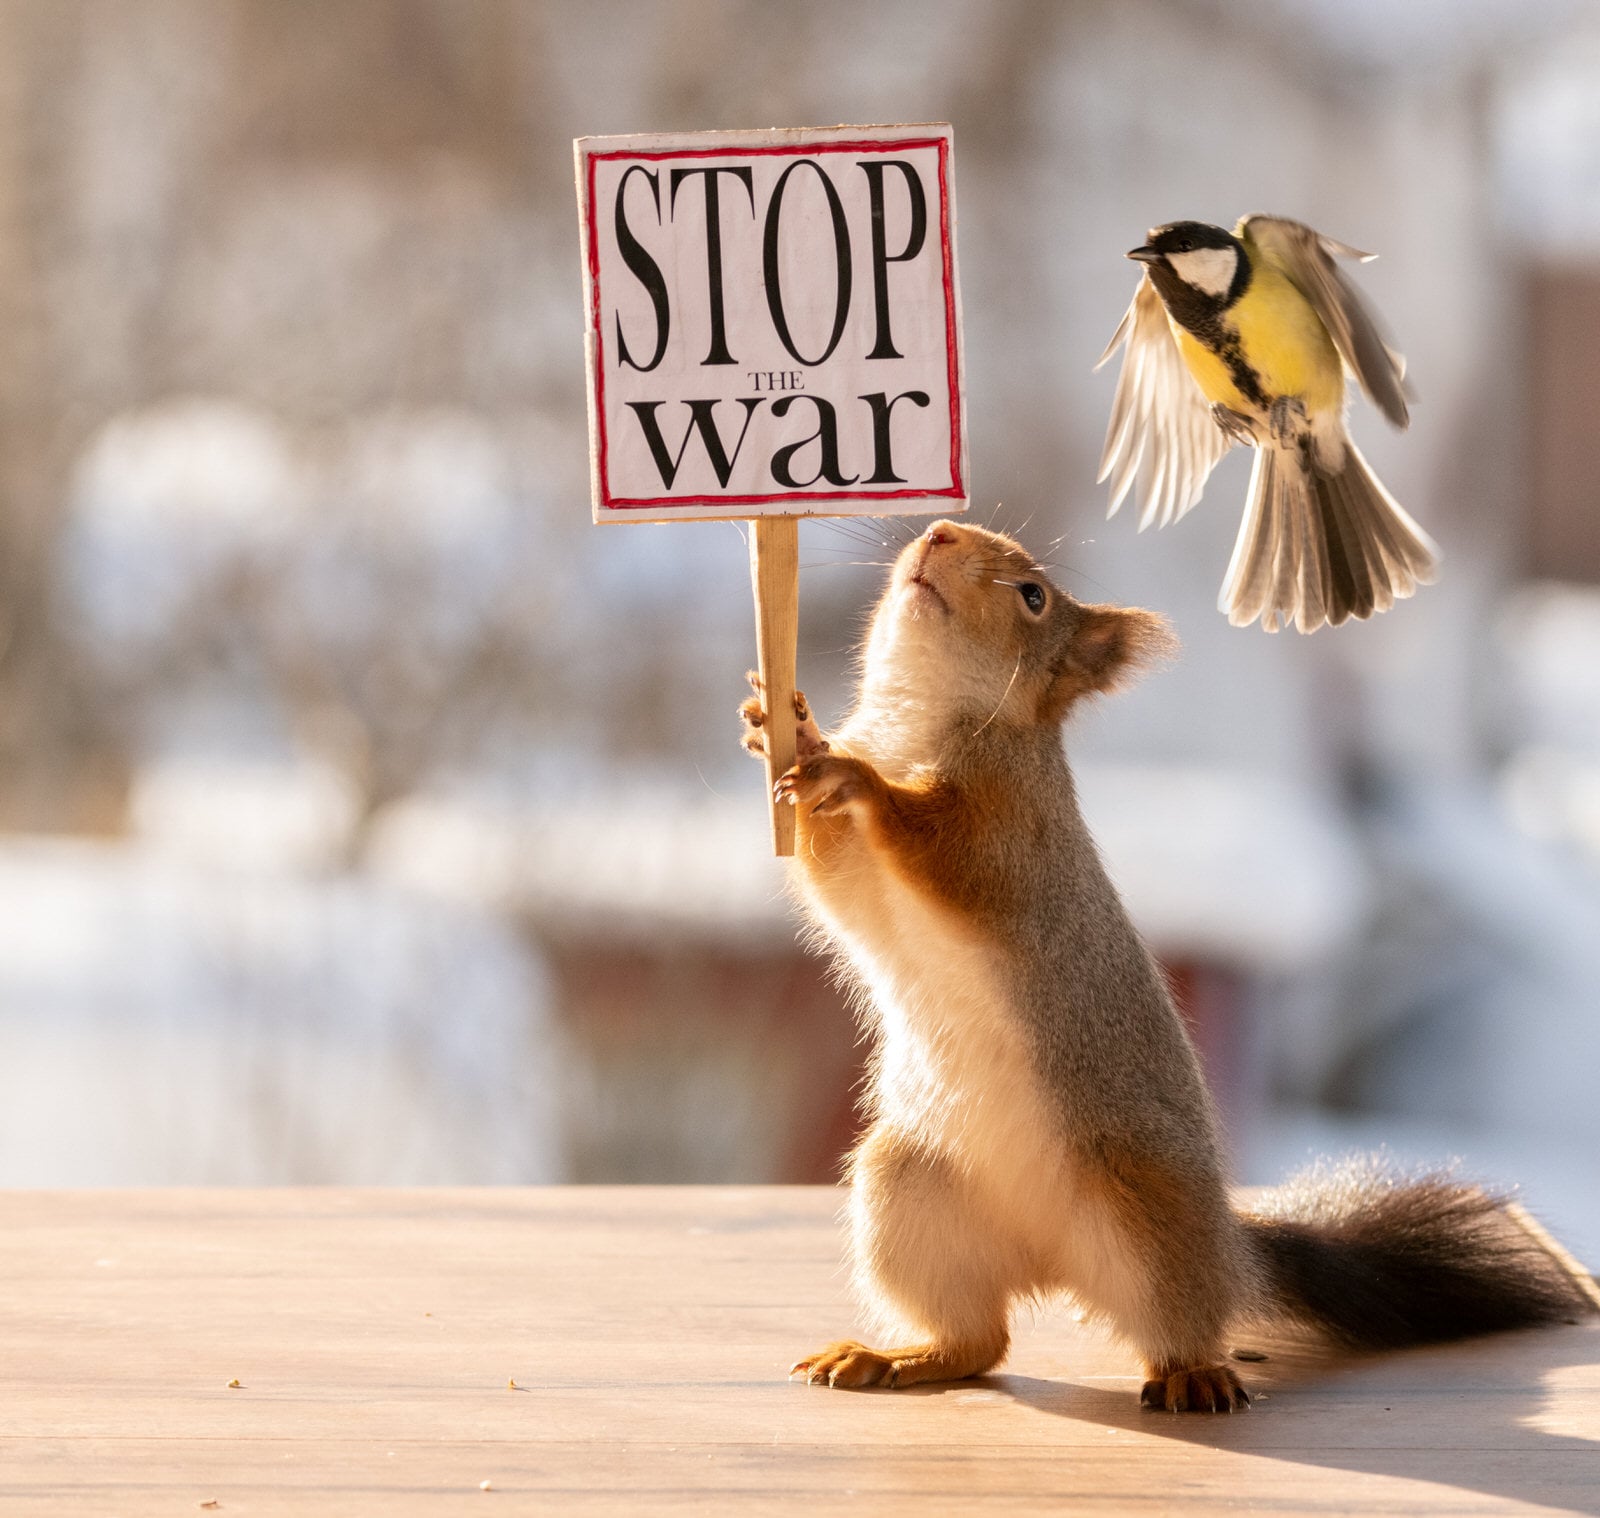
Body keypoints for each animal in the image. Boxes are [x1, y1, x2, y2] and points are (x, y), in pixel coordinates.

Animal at [739, 517, 1598, 1412]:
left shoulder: (1013, 833)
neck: (915, 725)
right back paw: (893, 1357)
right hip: (911, 1192)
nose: (938, 530)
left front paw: (856, 776)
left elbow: (944, 853)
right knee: (978, 1340)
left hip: (1144, 1208)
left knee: (1176, 1317)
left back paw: (1193, 1374)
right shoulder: (865, 878)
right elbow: (833, 876)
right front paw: (784, 728)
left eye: (1033, 595)